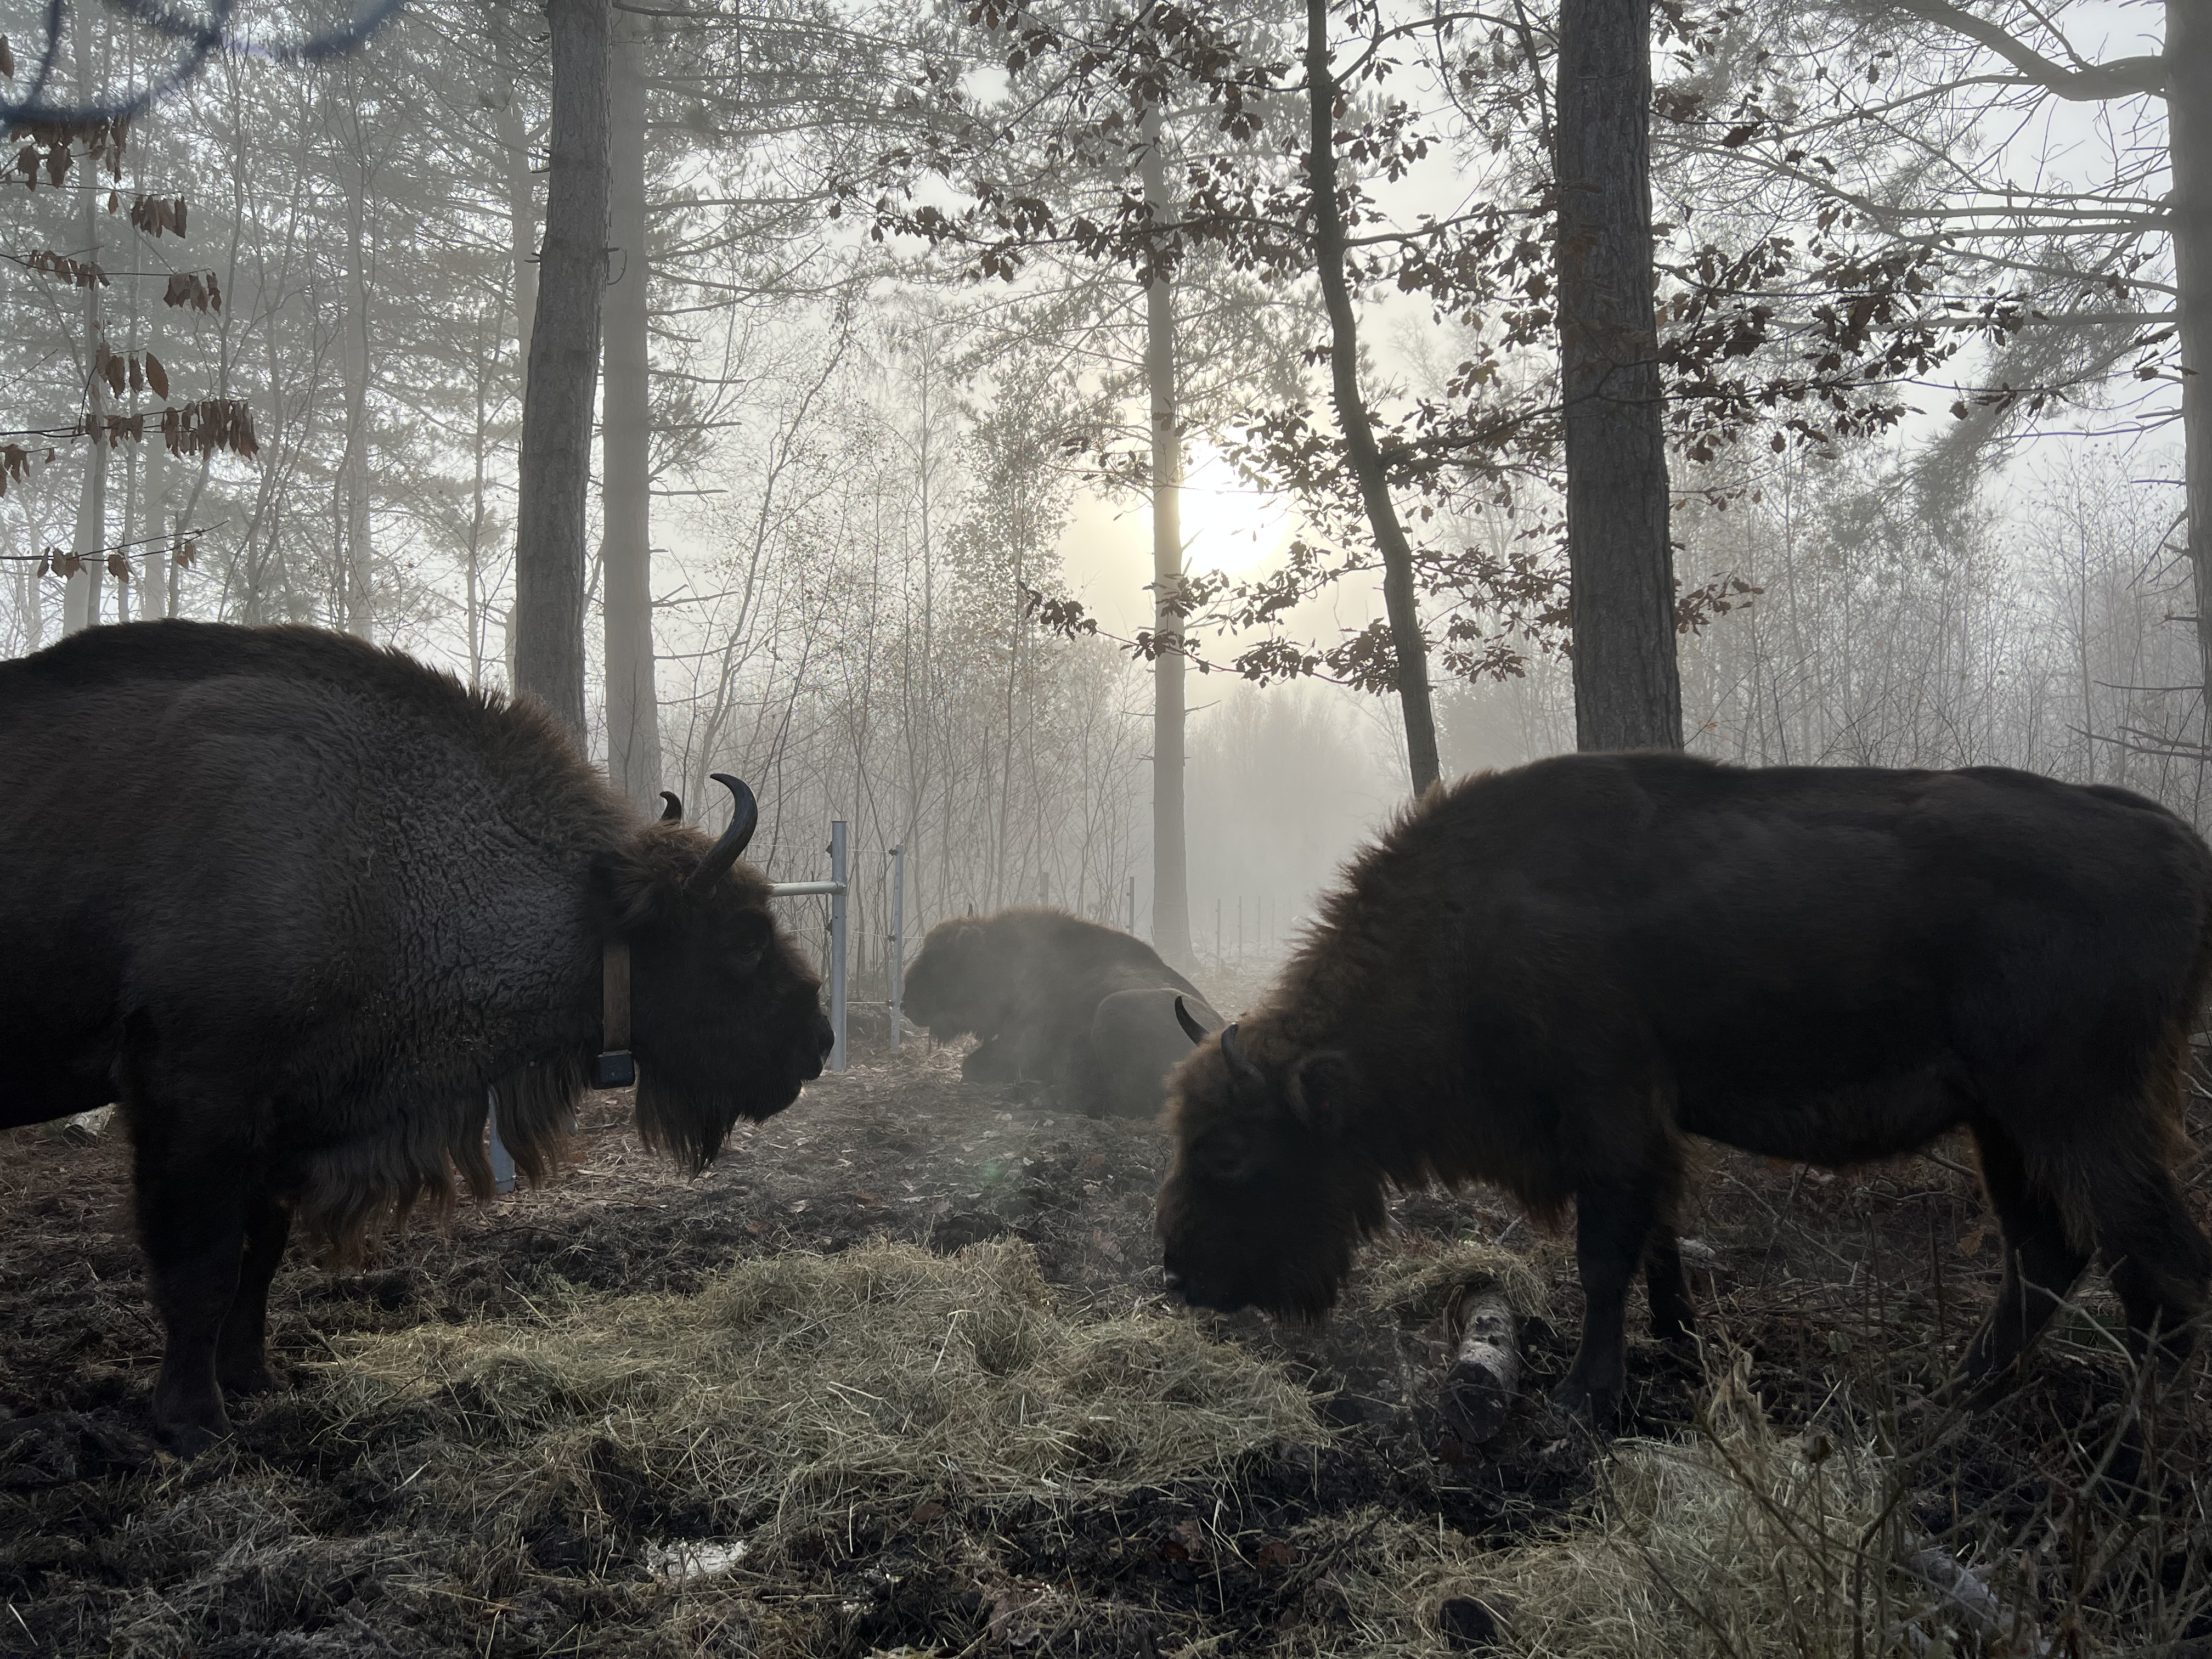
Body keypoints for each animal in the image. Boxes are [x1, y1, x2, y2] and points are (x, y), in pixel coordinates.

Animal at [1, 620, 833, 1451]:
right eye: (745, 936)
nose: (818, 1041)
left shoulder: (278, 1122)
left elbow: (259, 1255)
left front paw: (252, 1380)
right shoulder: (193, 1101)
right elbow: (200, 1268)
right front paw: (195, 1422)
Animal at [903, 908, 1221, 1118]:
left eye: (942, 960)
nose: (905, 1002)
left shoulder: (1017, 1047)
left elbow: (969, 1066)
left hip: (1113, 1009)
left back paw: (1039, 1096)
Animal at [1158, 751, 2212, 1420]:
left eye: (1228, 1151)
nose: (1182, 1274)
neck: (1468, 928)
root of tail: (2176, 843)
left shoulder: (1608, 1116)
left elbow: (1602, 1256)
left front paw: (1584, 1396)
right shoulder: (1644, 1132)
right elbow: (1656, 1243)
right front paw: (1677, 1343)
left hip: (2076, 1110)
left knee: (2154, 1262)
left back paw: (2134, 1442)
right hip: (2005, 1123)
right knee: (2051, 1250)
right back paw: (1957, 1395)